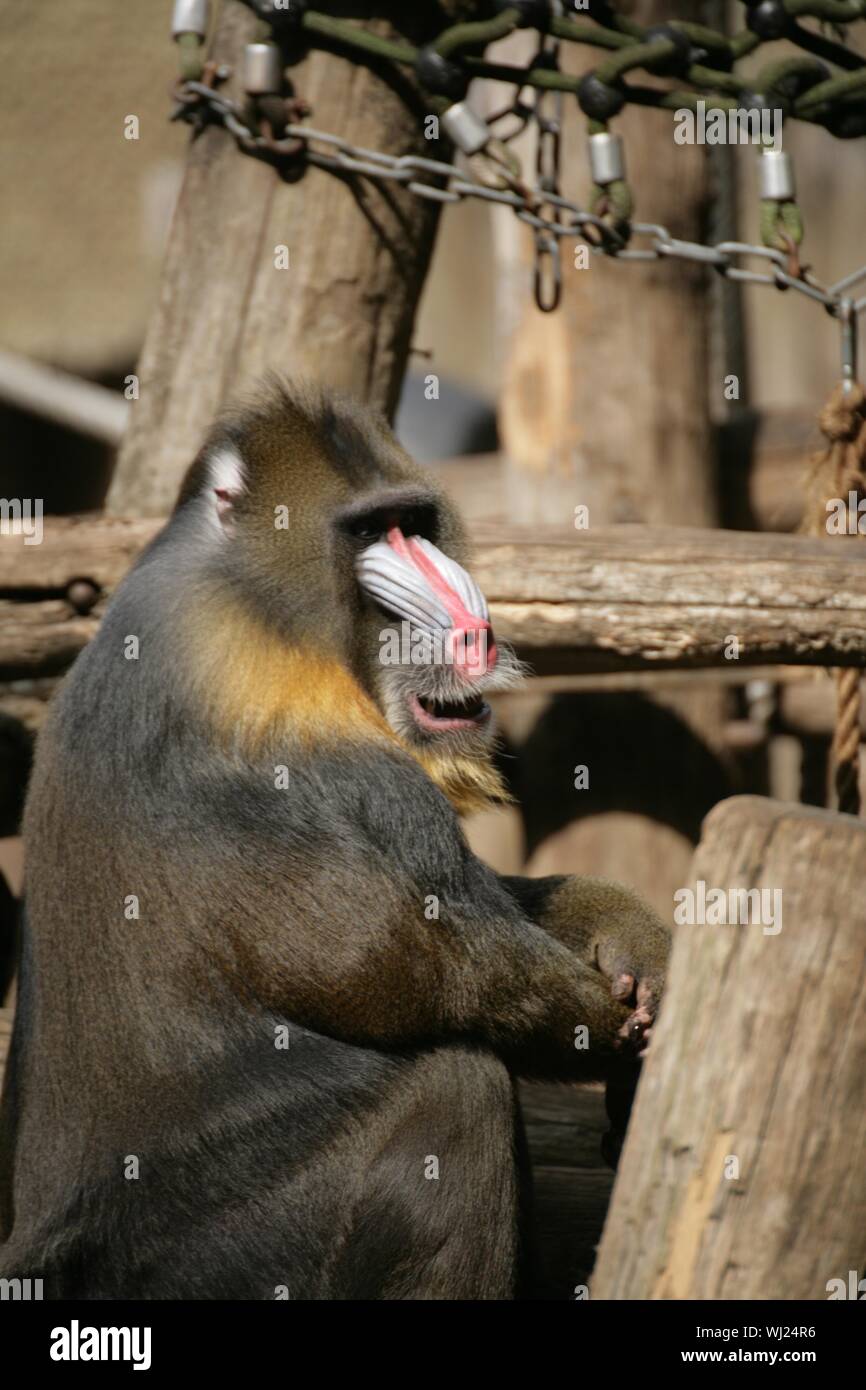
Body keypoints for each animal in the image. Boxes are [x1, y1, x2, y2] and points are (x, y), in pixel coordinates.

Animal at [0, 380, 669, 1300]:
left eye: (414, 523)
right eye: (366, 534)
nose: (472, 631)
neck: (257, 597)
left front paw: (632, 938)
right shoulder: (328, 748)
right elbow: (394, 960)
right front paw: (607, 1029)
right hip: (210, 1265)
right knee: (456, 1089)